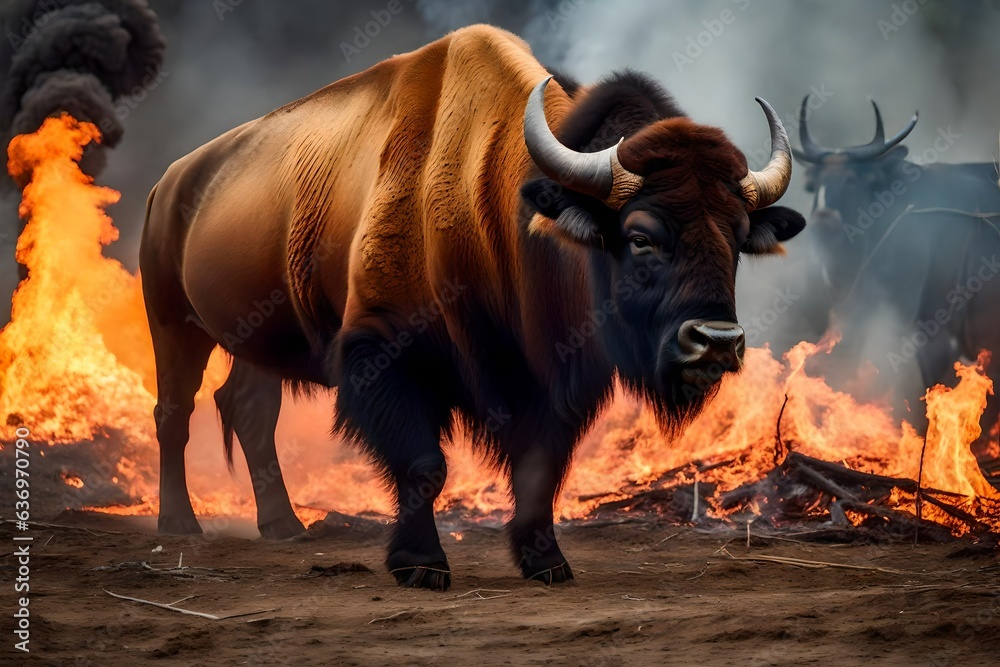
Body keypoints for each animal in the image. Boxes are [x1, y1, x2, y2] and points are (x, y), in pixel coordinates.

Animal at [141, 25, 805, 590]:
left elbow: (540, 469)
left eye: (738, 237)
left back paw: (284, 528)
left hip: (256, 339)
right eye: (639, 235)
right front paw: (421, 564)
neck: (492, 202)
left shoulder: (551, 381)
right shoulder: (383, 353)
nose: (716, 341)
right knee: (174, 413)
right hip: (173, 324)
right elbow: (423, 465)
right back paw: (180, 524)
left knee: (249, 408)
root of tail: (171, 181)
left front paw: (546, 562)